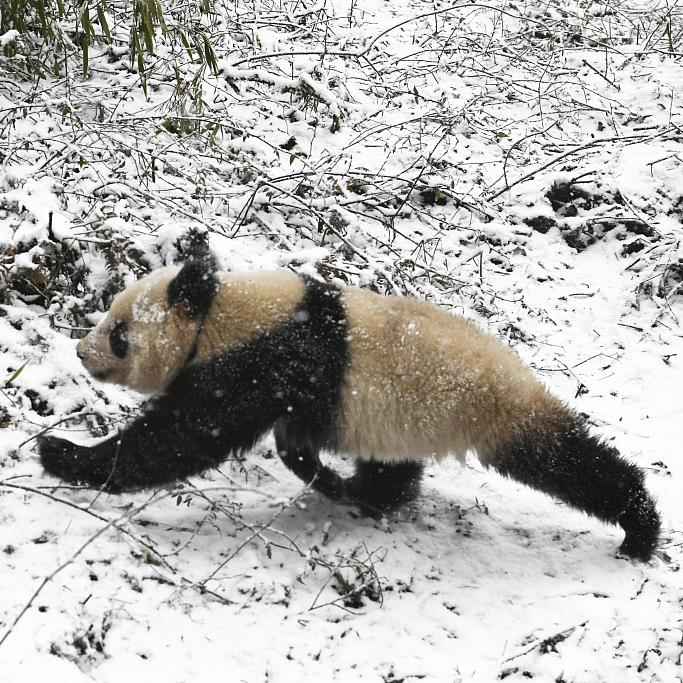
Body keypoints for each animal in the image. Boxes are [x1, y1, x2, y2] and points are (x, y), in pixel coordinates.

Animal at [38, 250, 660, 561]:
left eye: (119, 331)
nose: (82, 350)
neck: (219, 312)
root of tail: (517, 373)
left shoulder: (265, 359)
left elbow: (184, 436)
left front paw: (61, 452)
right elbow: (287, 441)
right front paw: (314, 470)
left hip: (492, 410)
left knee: (566, 460)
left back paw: (639, 528)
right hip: (407, 422)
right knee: (393, 471)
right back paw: (363, 494)